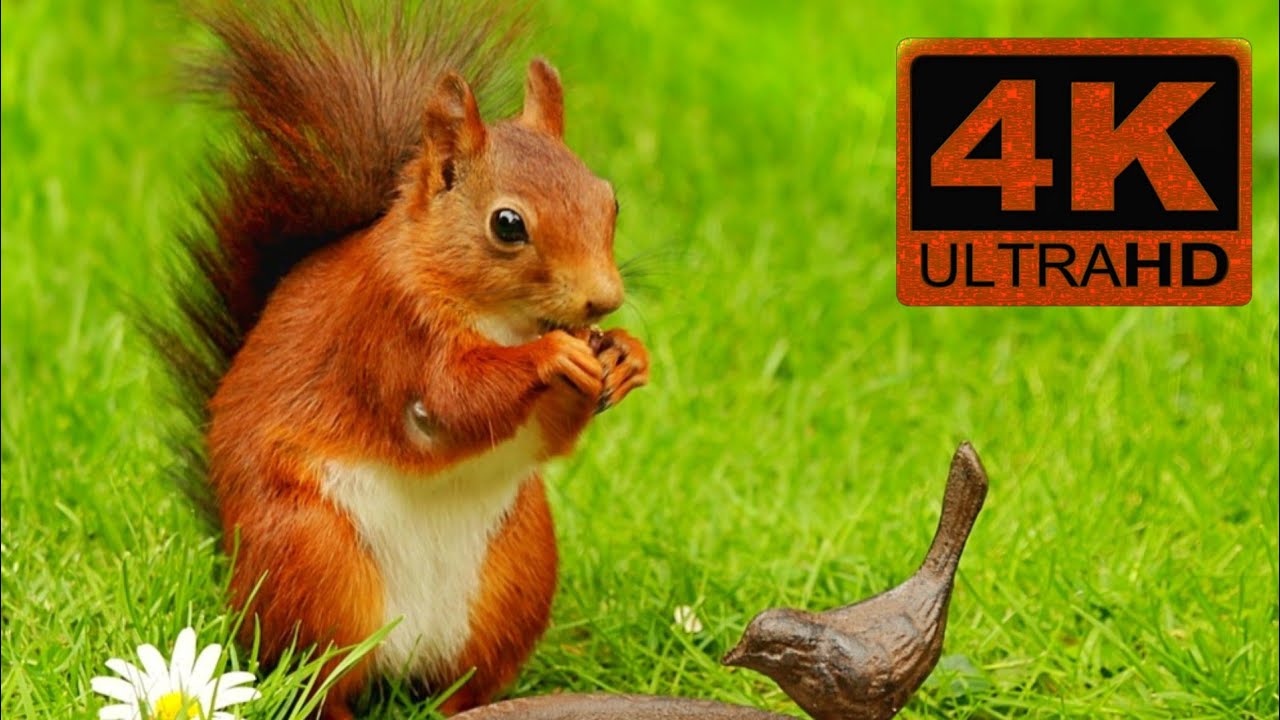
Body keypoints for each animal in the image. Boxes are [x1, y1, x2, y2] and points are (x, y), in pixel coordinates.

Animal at [149, 2, 649, 718]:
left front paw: (628, 355)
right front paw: (553, 355)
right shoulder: (387, 331)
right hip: (315, 560)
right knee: (315, 675)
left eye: (610, 200)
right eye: (507, 225)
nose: (603, 299)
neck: (500, 319)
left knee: (465, 682)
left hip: (517, 573)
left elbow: (547, 437)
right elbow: (452, 400)